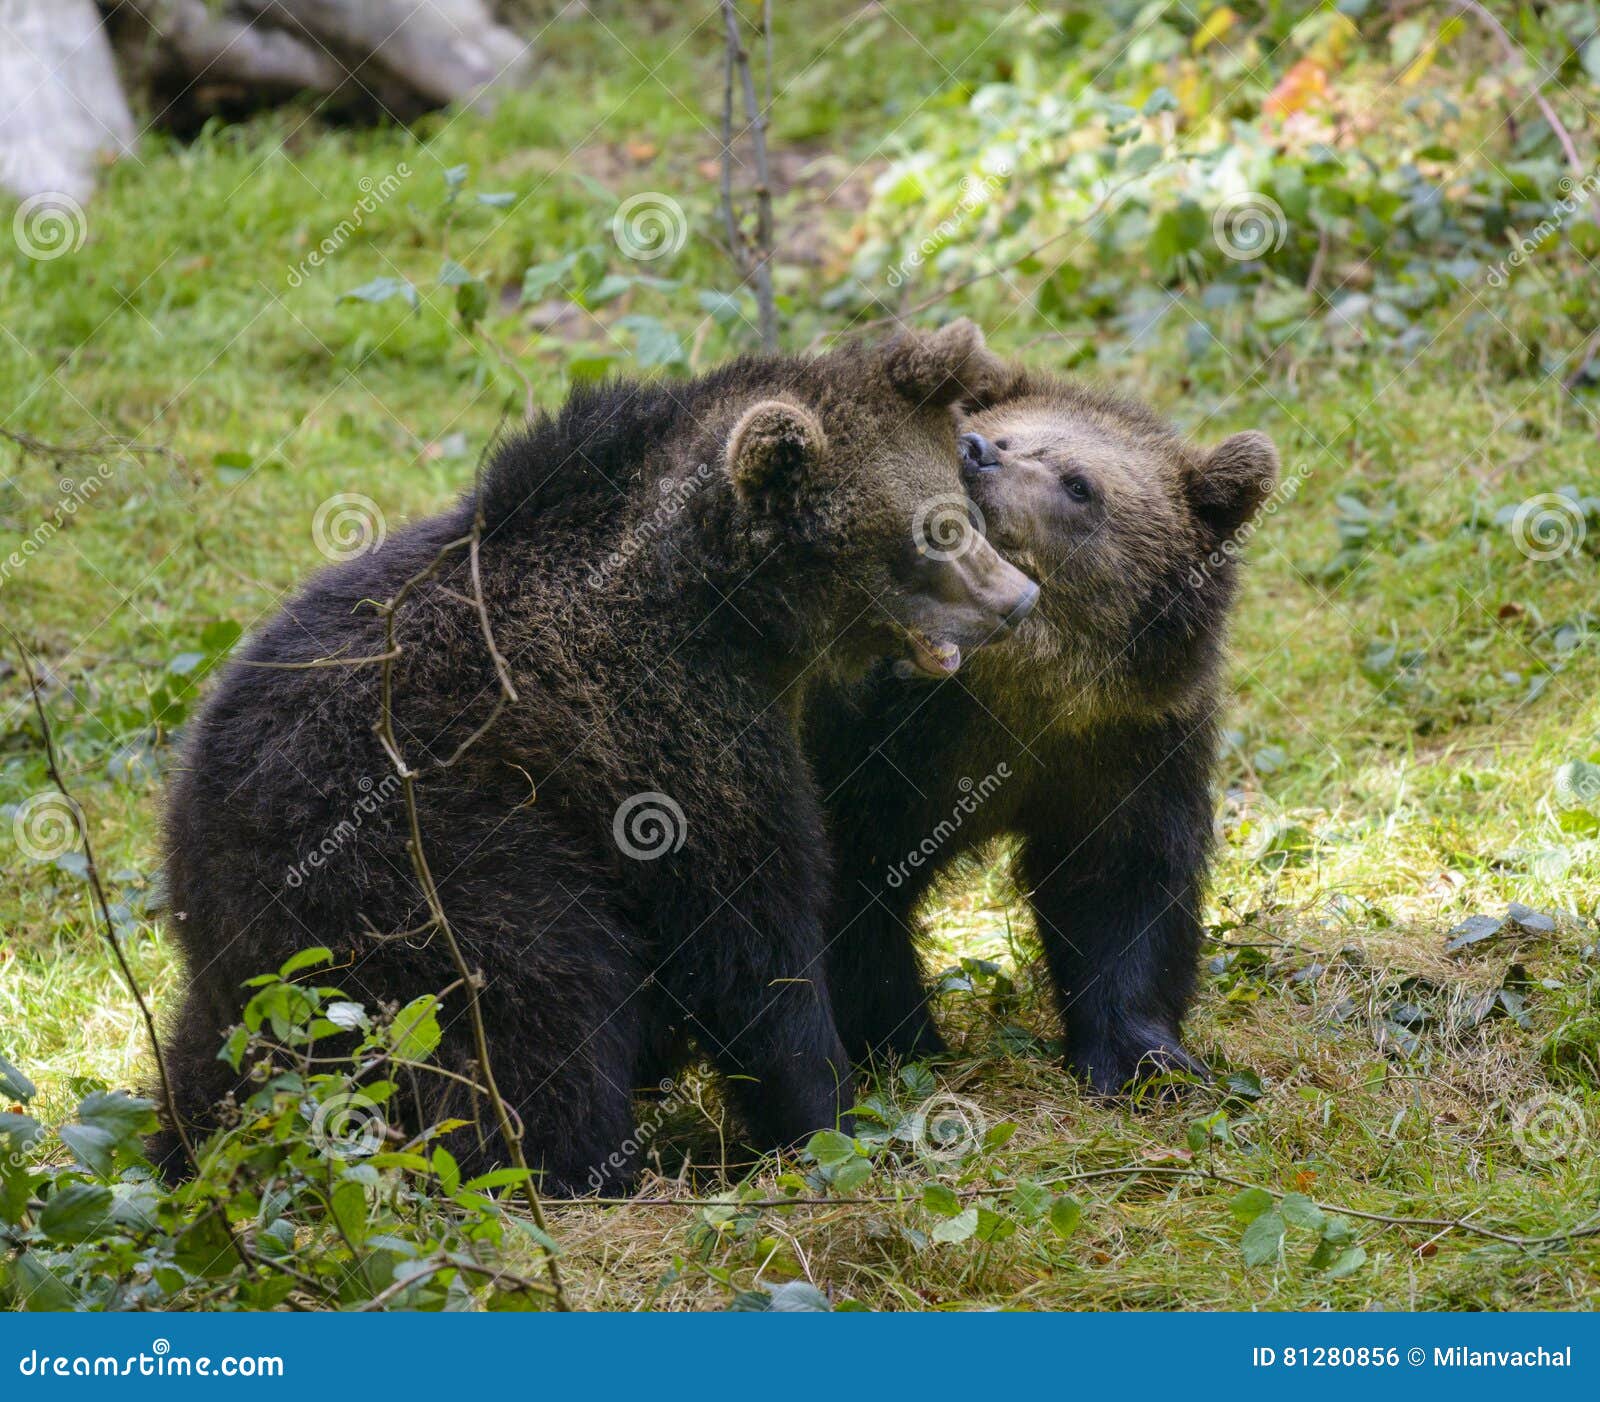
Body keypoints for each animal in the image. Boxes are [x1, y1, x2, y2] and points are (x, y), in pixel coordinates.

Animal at [151, 320, 1040, 1193]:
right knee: (540, 1001)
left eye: (957, 506)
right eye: (929, 531)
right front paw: (829, 1118)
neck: (727, 608)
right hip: (414, 865)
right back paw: (582, 1167)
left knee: (202, 1064)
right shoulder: (670, 741)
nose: (1017, 599)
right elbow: (751, 935)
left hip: (254, 979)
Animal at [802, 366, 1279, 1093]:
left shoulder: (1128, 748)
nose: (975, 452)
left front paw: (1142, 1059)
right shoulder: (866, 753)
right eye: (999, 432)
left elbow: (1122, 885)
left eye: (1079, 484)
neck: (1018, 690)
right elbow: (851, 901)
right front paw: (906, 1046)